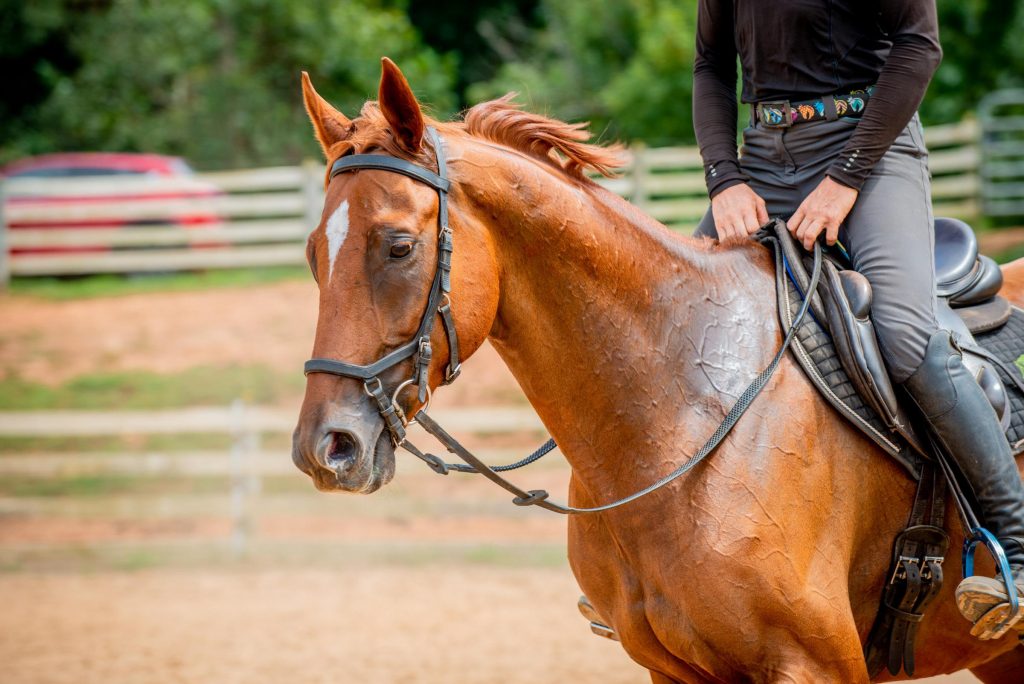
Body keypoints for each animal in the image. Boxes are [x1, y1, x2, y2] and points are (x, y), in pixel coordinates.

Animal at [291, 57, 1024, 682]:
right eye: (312, 255)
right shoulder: (672, 669)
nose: (326, 448)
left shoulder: (816, 665)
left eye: (399, 246)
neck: (680, 415)